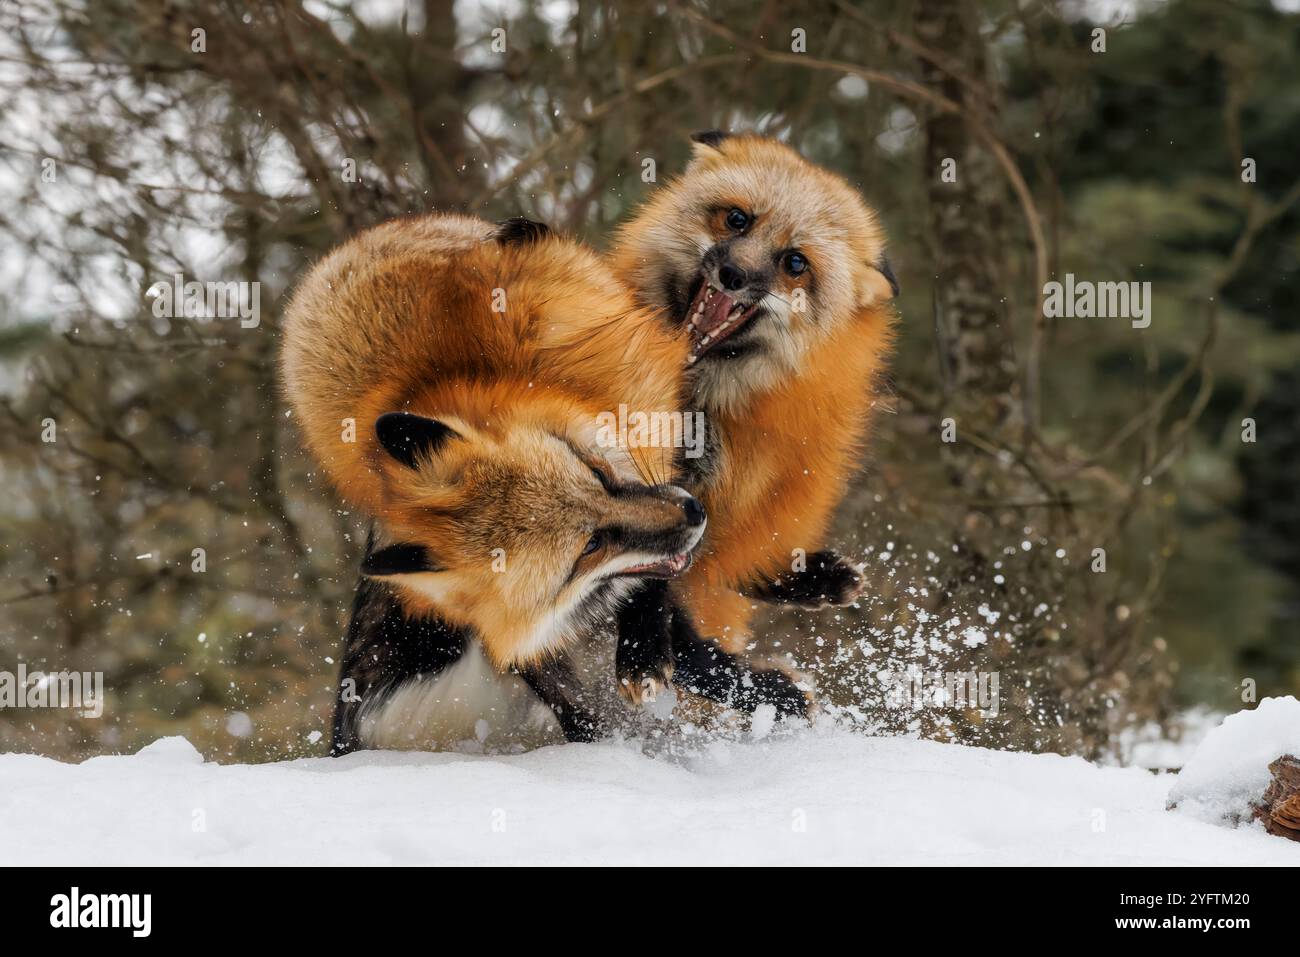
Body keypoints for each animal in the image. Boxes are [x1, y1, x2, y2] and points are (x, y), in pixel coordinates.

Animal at [608, 131, 900, 712]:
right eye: (737, 219)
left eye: (795, 263)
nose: (733, 275)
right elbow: (664, 608)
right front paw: (645, 652)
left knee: (736, 558)